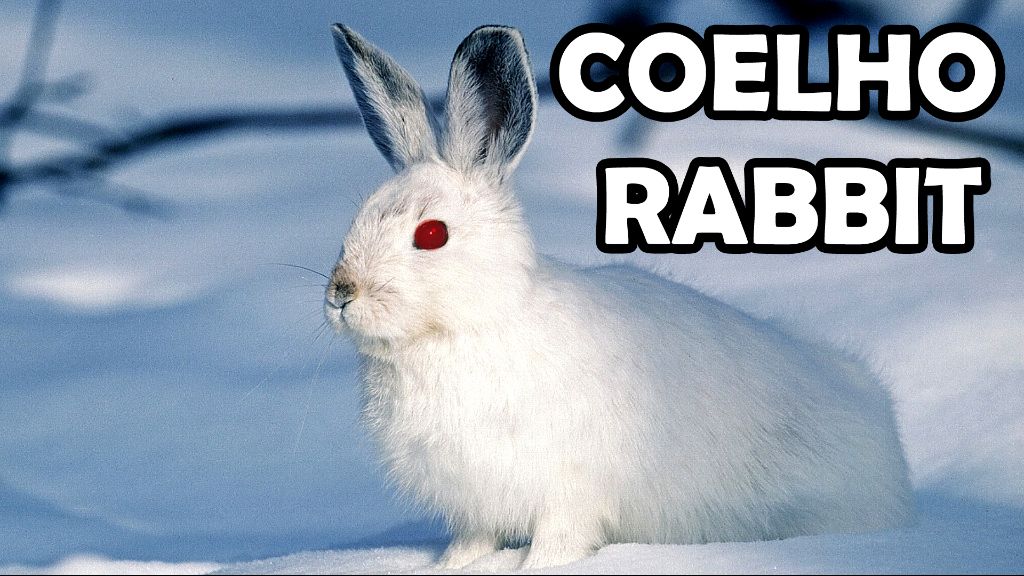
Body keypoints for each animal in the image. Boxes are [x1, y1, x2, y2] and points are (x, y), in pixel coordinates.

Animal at [325, 23, 914, 570]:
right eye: (356, 220)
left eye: (431, 235)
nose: (341, 294)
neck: (471, 323)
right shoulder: (477, 506)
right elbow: (474, 542)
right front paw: (450, 567)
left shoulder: (567, 491)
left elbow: (559, 540)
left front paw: (538, 567)